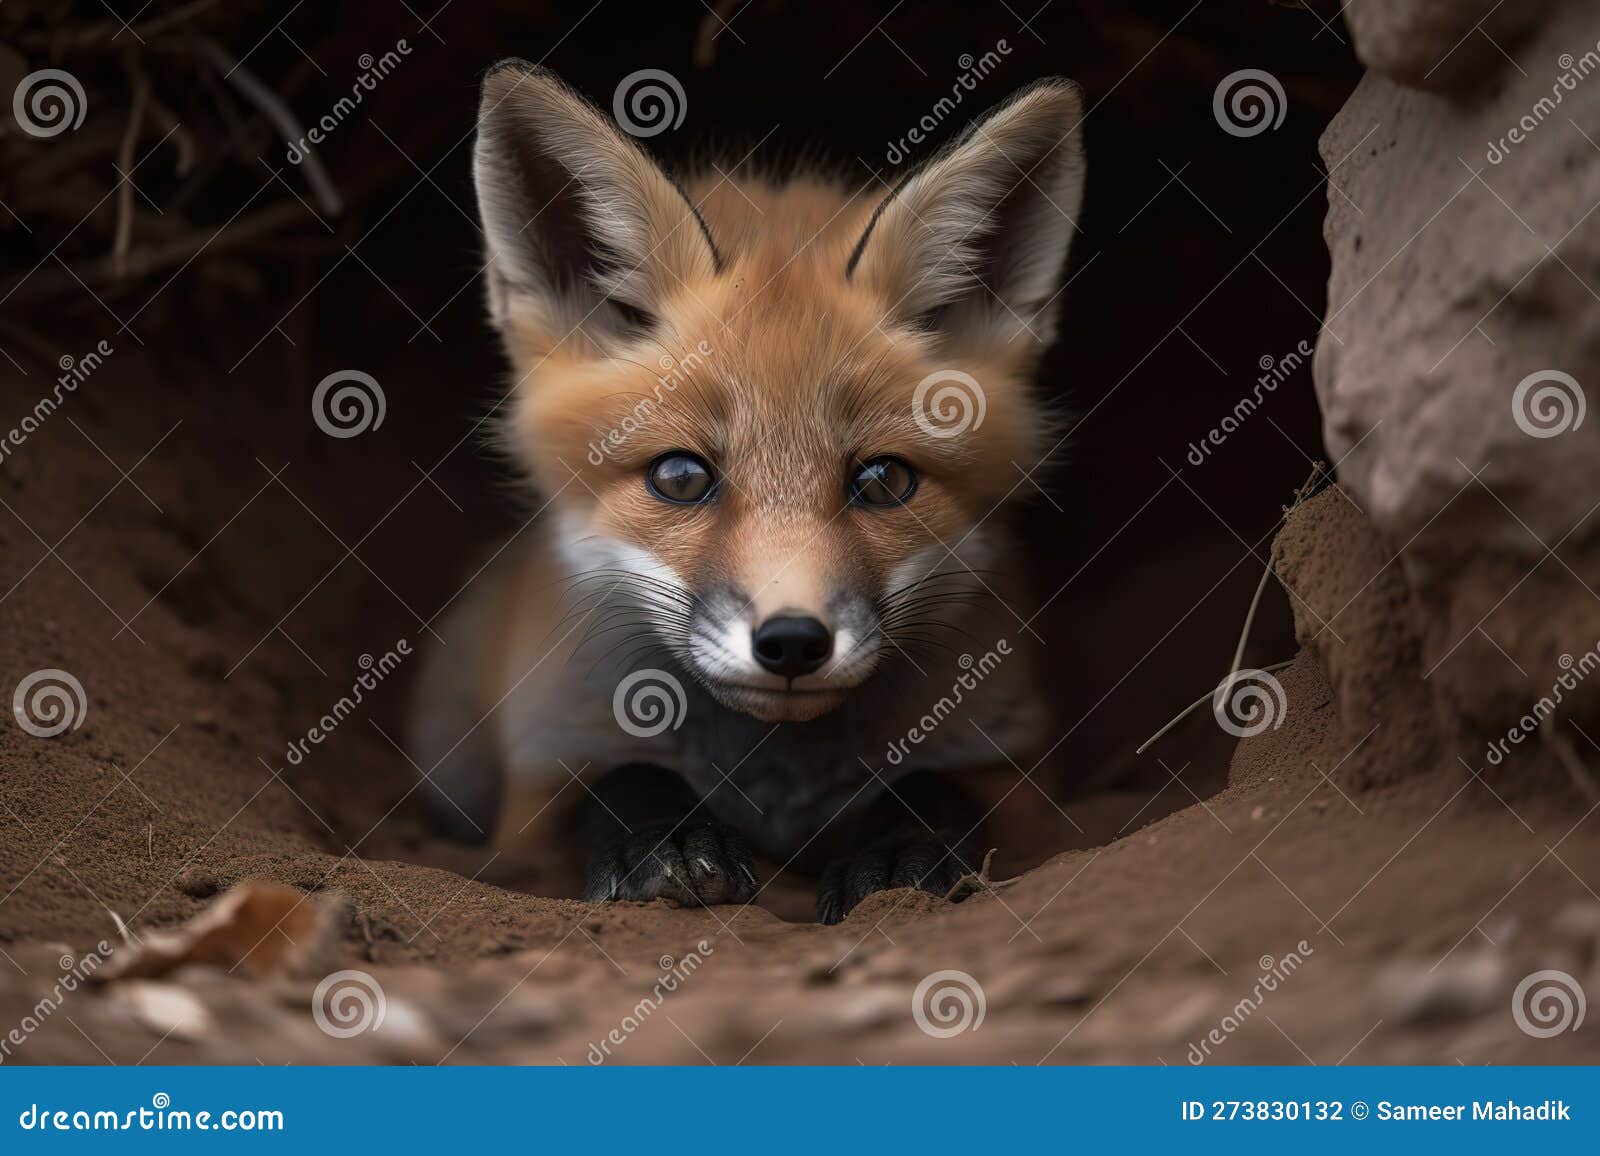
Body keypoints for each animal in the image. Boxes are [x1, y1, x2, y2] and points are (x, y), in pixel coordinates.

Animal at [406, 61, 1086, 923]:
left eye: (884, 480)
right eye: (681, 477)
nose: (793, 642)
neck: (775, 777)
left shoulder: (1016, 769)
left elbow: (936, 788)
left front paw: (904, 853)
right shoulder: (538, 787)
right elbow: (625, 780)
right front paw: (668, 844)